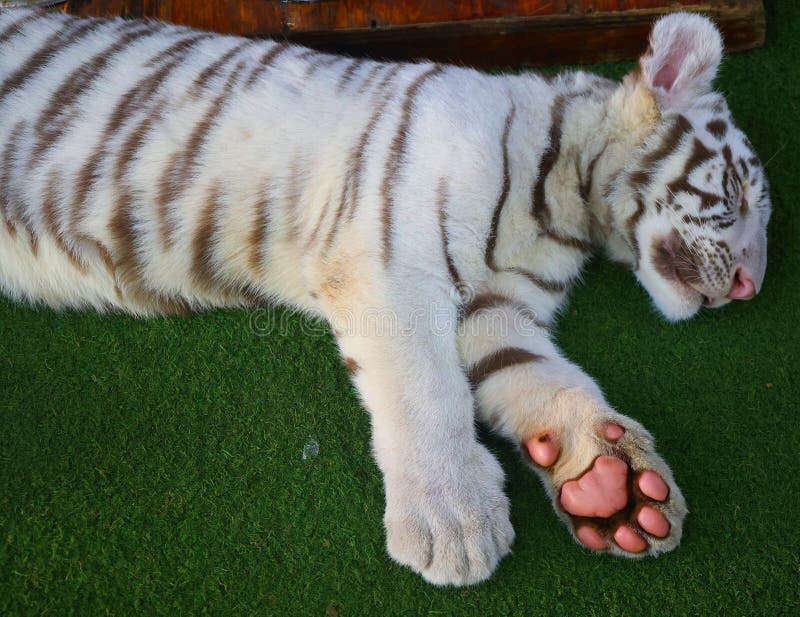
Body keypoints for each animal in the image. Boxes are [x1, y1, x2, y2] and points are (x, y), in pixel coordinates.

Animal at [0, 8, 771, 586]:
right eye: (735, 195)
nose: (751, 287)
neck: (563, 206)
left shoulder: (496, 311)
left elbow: (542, 377)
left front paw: (611, 483)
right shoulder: (390, 257)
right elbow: (426, 389)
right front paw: (452, 521)